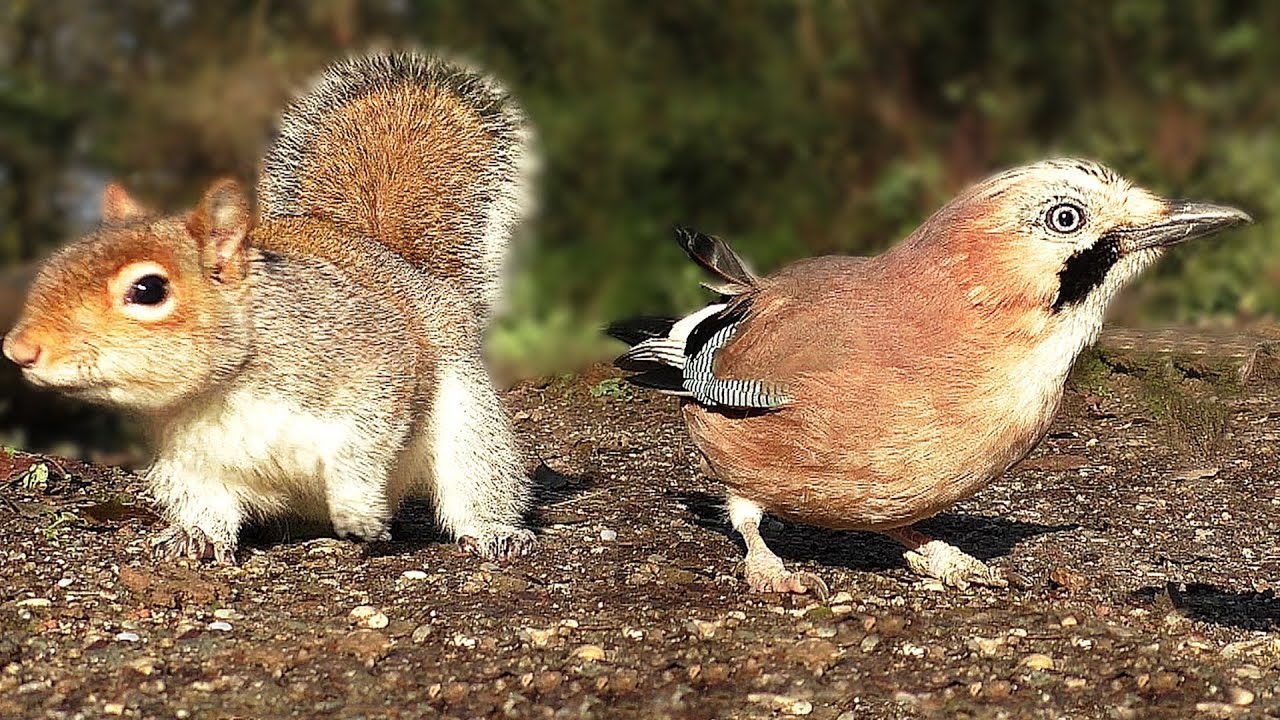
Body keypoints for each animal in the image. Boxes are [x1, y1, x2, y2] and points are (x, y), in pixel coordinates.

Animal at [2, 51, 538, 563]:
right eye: (58, 262)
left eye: (149, 290)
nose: (19, 350)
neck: (224, 388)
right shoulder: (191, 460)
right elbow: (206, 502)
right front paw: (196, 536)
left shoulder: (373, 364)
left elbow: (365, 444)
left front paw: (359, 508)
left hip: (468, 424)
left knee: (475, 479)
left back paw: (492, 531)